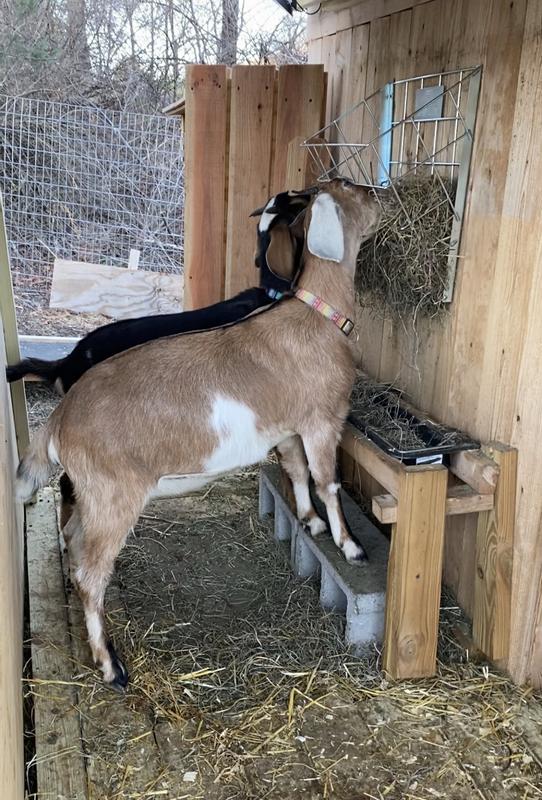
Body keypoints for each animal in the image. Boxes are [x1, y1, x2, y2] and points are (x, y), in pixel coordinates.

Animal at [16, 178, 380, 690]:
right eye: (350, 188)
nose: (382, 196)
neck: (316, 317)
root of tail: (59, 418)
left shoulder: (288, 428)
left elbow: (297, 473)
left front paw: (310, 523)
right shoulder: (322, 420)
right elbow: (329, 483)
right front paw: (351, 547)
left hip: (92, 494)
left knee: (72, 536)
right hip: (114, 496)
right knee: (91, 573)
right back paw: (111, 666)